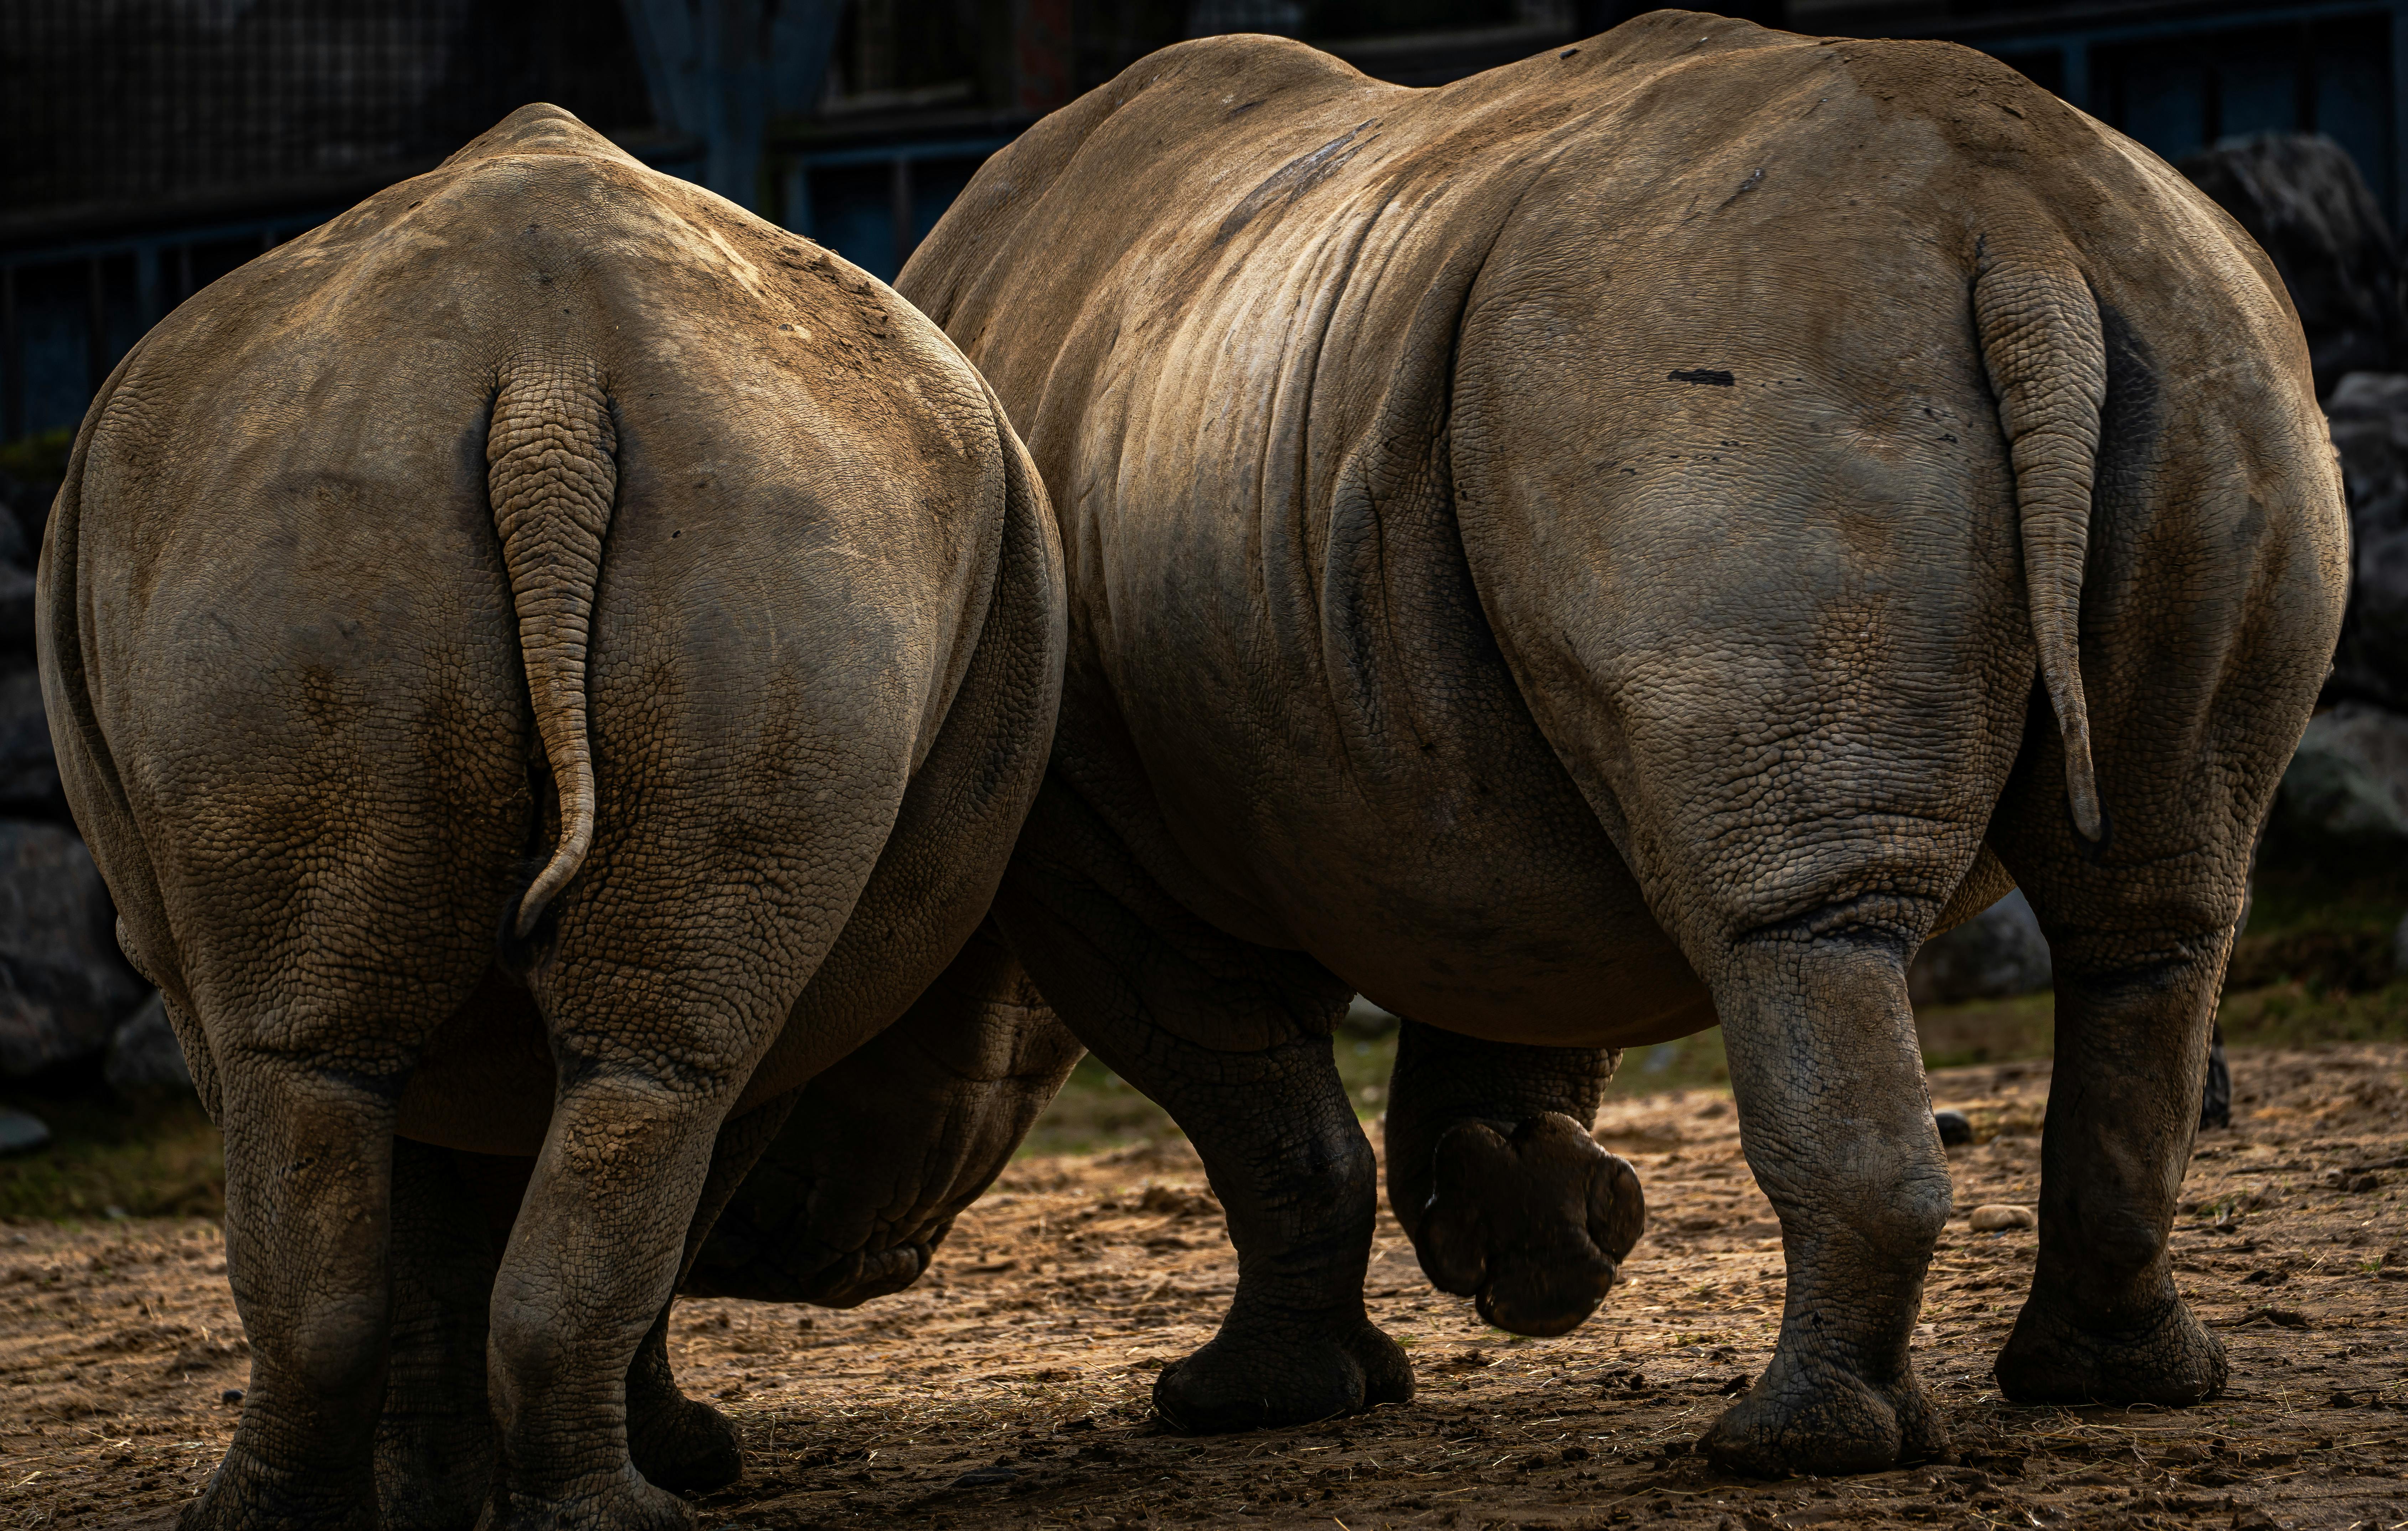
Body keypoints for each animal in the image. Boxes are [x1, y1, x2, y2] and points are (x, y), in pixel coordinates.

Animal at [39, 105, 1067, 1530]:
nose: (867, 1261)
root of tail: (547, 382)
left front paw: (457, 1487)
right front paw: (604, 1466)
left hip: (355, 523)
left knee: (364, 1063)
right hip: (721, 530)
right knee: (564, 1068)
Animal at [899, 13, 2348, 1476]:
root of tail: (2019, 229)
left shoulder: (1095, 840)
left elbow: (1257, 1105)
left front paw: (1243, 1404)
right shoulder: (1439, 759)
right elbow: (1505, 965)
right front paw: (1528, 1241)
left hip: (1719, 377)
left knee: (1787, 920)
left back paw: (1787, 1443)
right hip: (2198, 347)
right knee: (2155, 906)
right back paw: (2116, 1384)